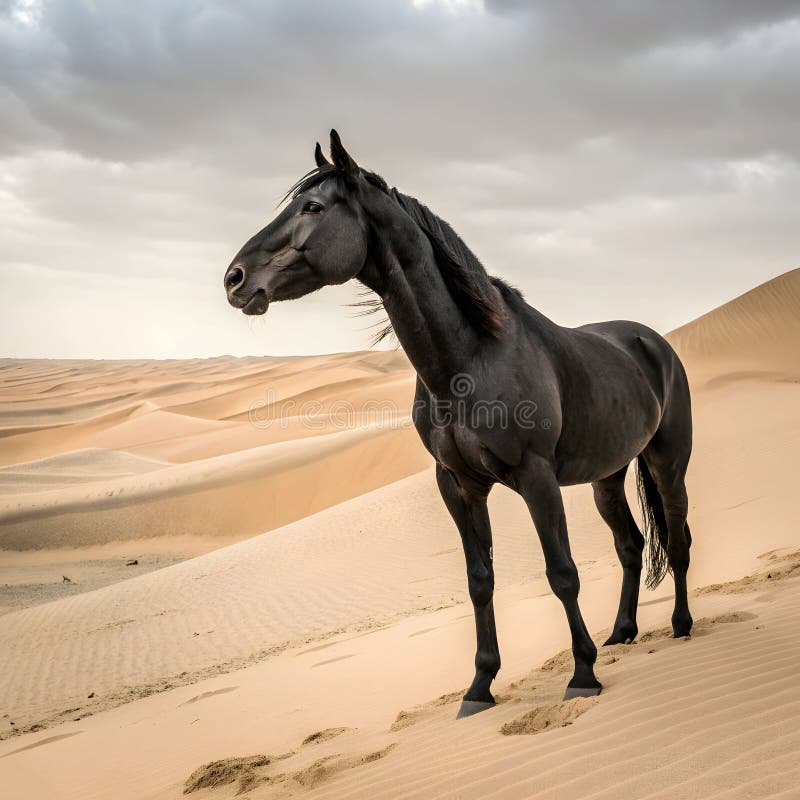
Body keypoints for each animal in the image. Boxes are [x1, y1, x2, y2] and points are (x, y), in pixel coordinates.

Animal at [224, 130, 694, 718]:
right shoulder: (459, 486)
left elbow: (562, 573)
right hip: (606, 477)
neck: (468, 359)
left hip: (667, 464)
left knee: (677, 538)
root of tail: (651, 341)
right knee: (630, 545)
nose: (235, 278)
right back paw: (621, 632)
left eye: (312, 206)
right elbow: (479, 581)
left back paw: (680, 625)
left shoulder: (536, 478)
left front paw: (582, 674)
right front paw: (480, 686)